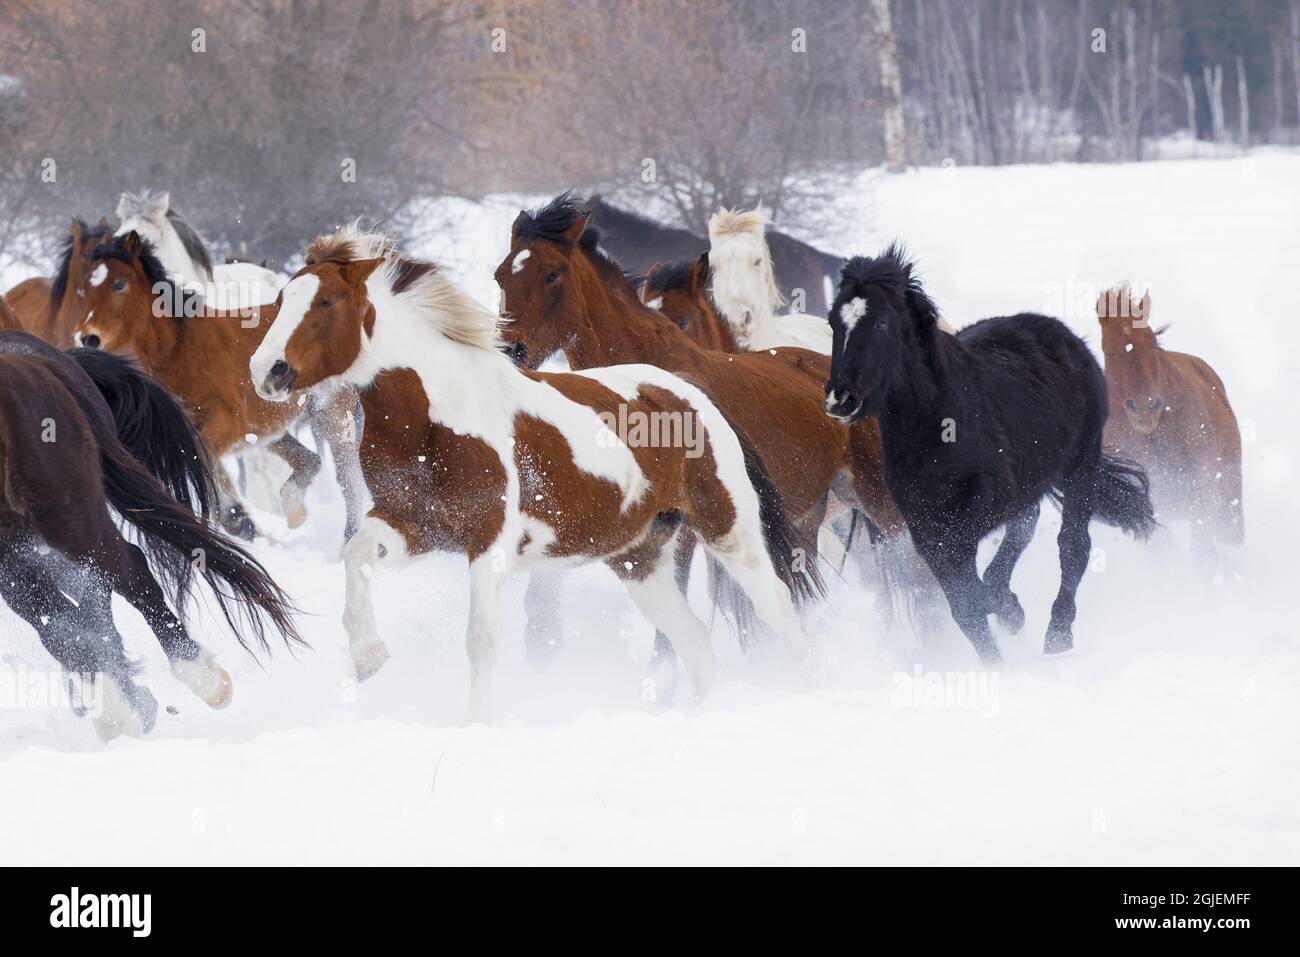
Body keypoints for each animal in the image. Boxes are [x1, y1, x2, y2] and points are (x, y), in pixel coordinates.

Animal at [0, 331, 299, 739]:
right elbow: (61, 625)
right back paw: (125, 706)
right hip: (26, 545)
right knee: (74, 612)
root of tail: (49, 361)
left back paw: (199, 681)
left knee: (126, 575)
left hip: (68, 519)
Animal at [73, 230, 366, 541]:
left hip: (334, 417)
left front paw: (236, 516)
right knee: (310, 461)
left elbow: (202, 454)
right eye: (83, 288)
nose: (87, 338)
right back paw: (293, 512)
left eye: (119, 284)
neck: (181, 350)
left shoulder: (228, 422)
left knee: (350, 485)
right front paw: (237, 518)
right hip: (269, 432)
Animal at [247, 224, 819, 722]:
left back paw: (799, 692)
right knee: (695, 641)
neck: (436, 415)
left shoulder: (490, 541)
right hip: (640, 559)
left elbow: (481, 639)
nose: (266, 371)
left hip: (728, 531)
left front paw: (476, 724)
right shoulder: (413, 524)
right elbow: (355, 555)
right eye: (281, 300)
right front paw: (368, 656)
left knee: (780, 609)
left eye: (325, 303)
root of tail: (692, 394)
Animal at [824, 245, 1156, 664]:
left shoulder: (974, 512)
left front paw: (1009, 620)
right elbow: (963, 604)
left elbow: (971, 596)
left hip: (1081, 462)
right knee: (1026, 527)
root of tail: (1065, 336)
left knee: (1073, 546)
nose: (840, 399)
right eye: (834, 322)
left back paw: (1058, 636)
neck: (936, 424)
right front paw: (1000, 644)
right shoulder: (924, 526)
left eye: (881, 323)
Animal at [1097, 286, 1243, 567]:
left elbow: (1203, 555)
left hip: (1229, 492)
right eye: (1109, 350)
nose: (1145, 407)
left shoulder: (1202, 493)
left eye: (1152, 341)